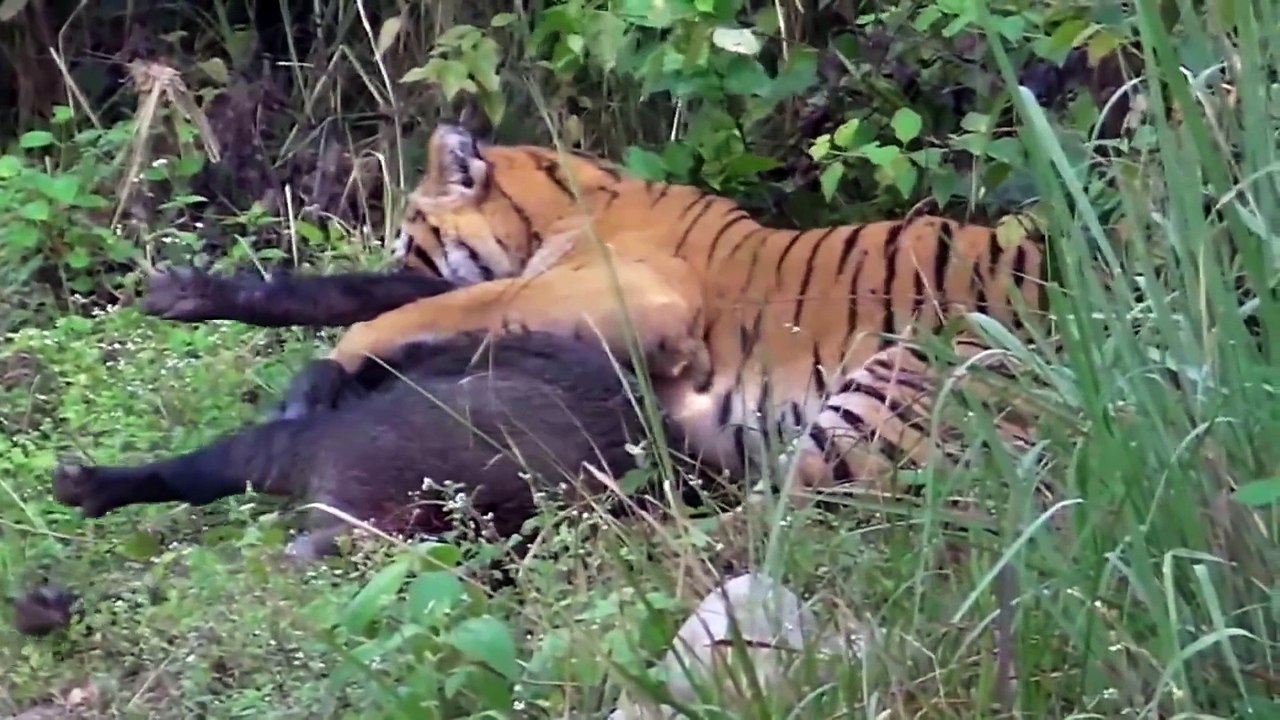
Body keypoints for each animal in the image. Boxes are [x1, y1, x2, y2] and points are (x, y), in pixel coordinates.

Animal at [146, 122, 1051, 499]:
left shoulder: (626, 291)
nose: (398, 256)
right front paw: (199, 292)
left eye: (409, 235)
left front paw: (321, 375)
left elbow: (434, 308)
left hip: (908, 380)